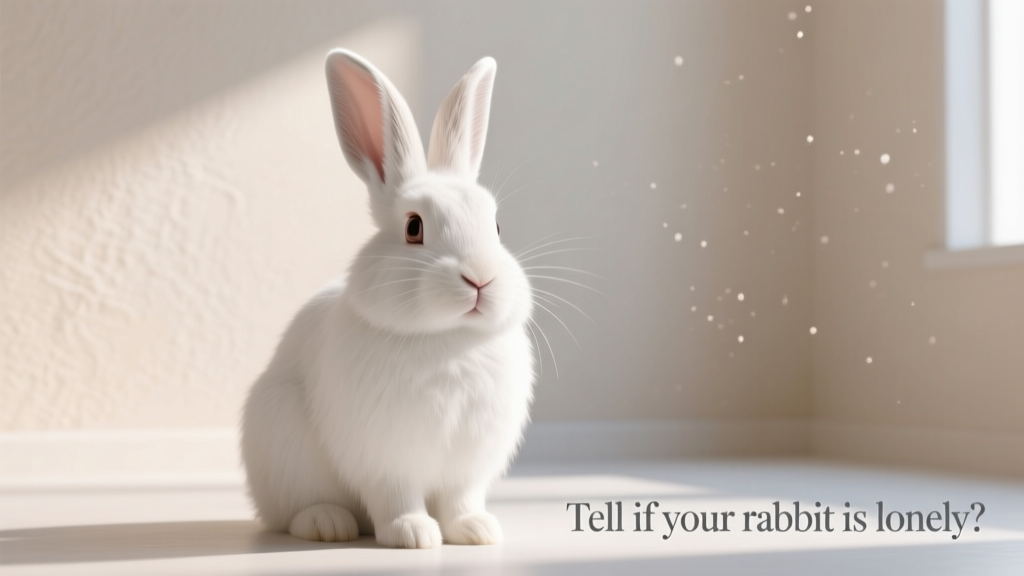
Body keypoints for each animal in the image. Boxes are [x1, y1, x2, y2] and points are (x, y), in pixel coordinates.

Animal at [240, 49, 535, 549]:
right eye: (414, 227)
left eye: (496, 227)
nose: (480, 278)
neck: (448, 340)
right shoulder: (385, 459)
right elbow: (396, 498)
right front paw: (413, 534)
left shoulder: (467, 465)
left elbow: (461, 500)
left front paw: (476, 531)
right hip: (283, 445)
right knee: (293, 511)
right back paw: (328, 523)